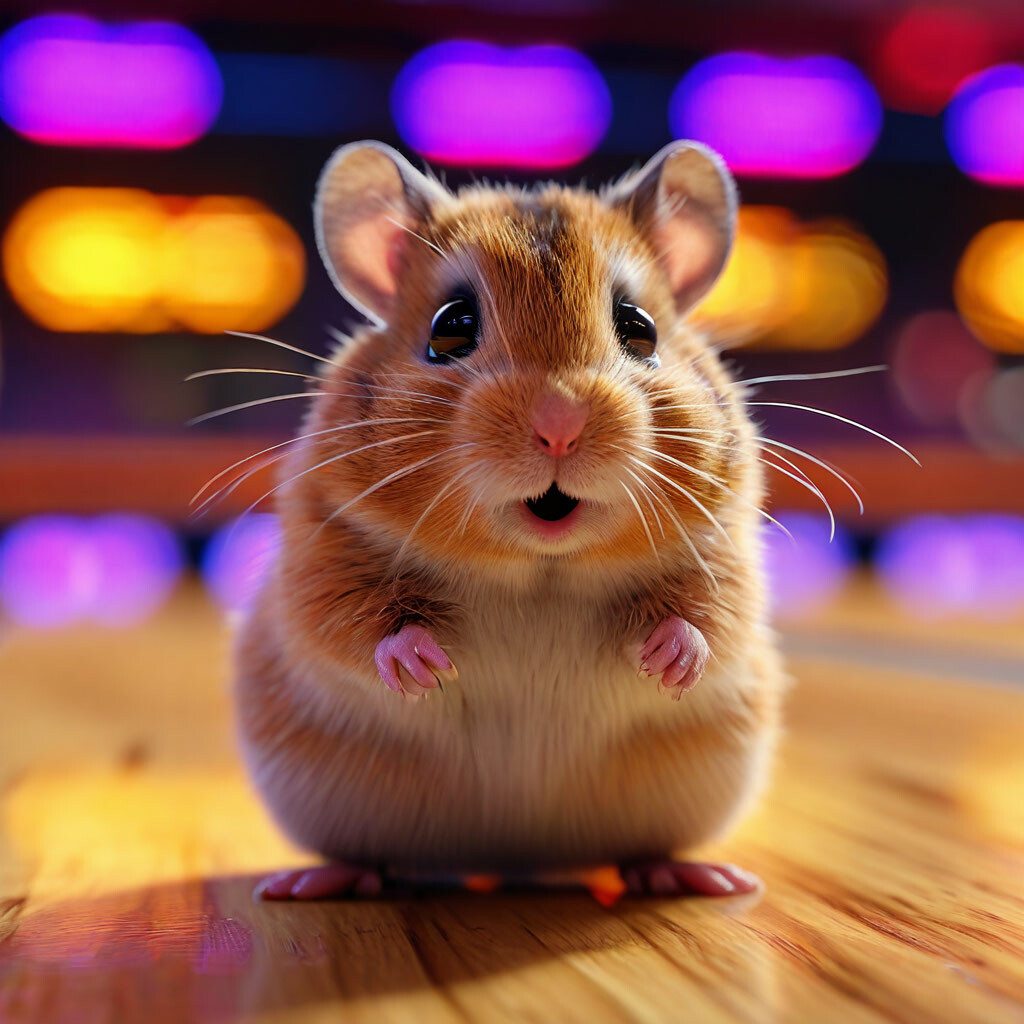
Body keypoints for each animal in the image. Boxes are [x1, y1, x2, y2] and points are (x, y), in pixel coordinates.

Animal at [234, 140, 784, 901]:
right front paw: (429, 668)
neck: (538, 566)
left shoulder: (724, 549)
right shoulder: (325, 549)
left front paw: (666, 663)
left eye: (639, 328)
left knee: (647, 852)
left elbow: (705, 617)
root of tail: (513, 862)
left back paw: (704, 877)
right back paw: (310, 883)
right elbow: (363, 626)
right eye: (451, 327)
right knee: (366, 859)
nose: (559, 423)